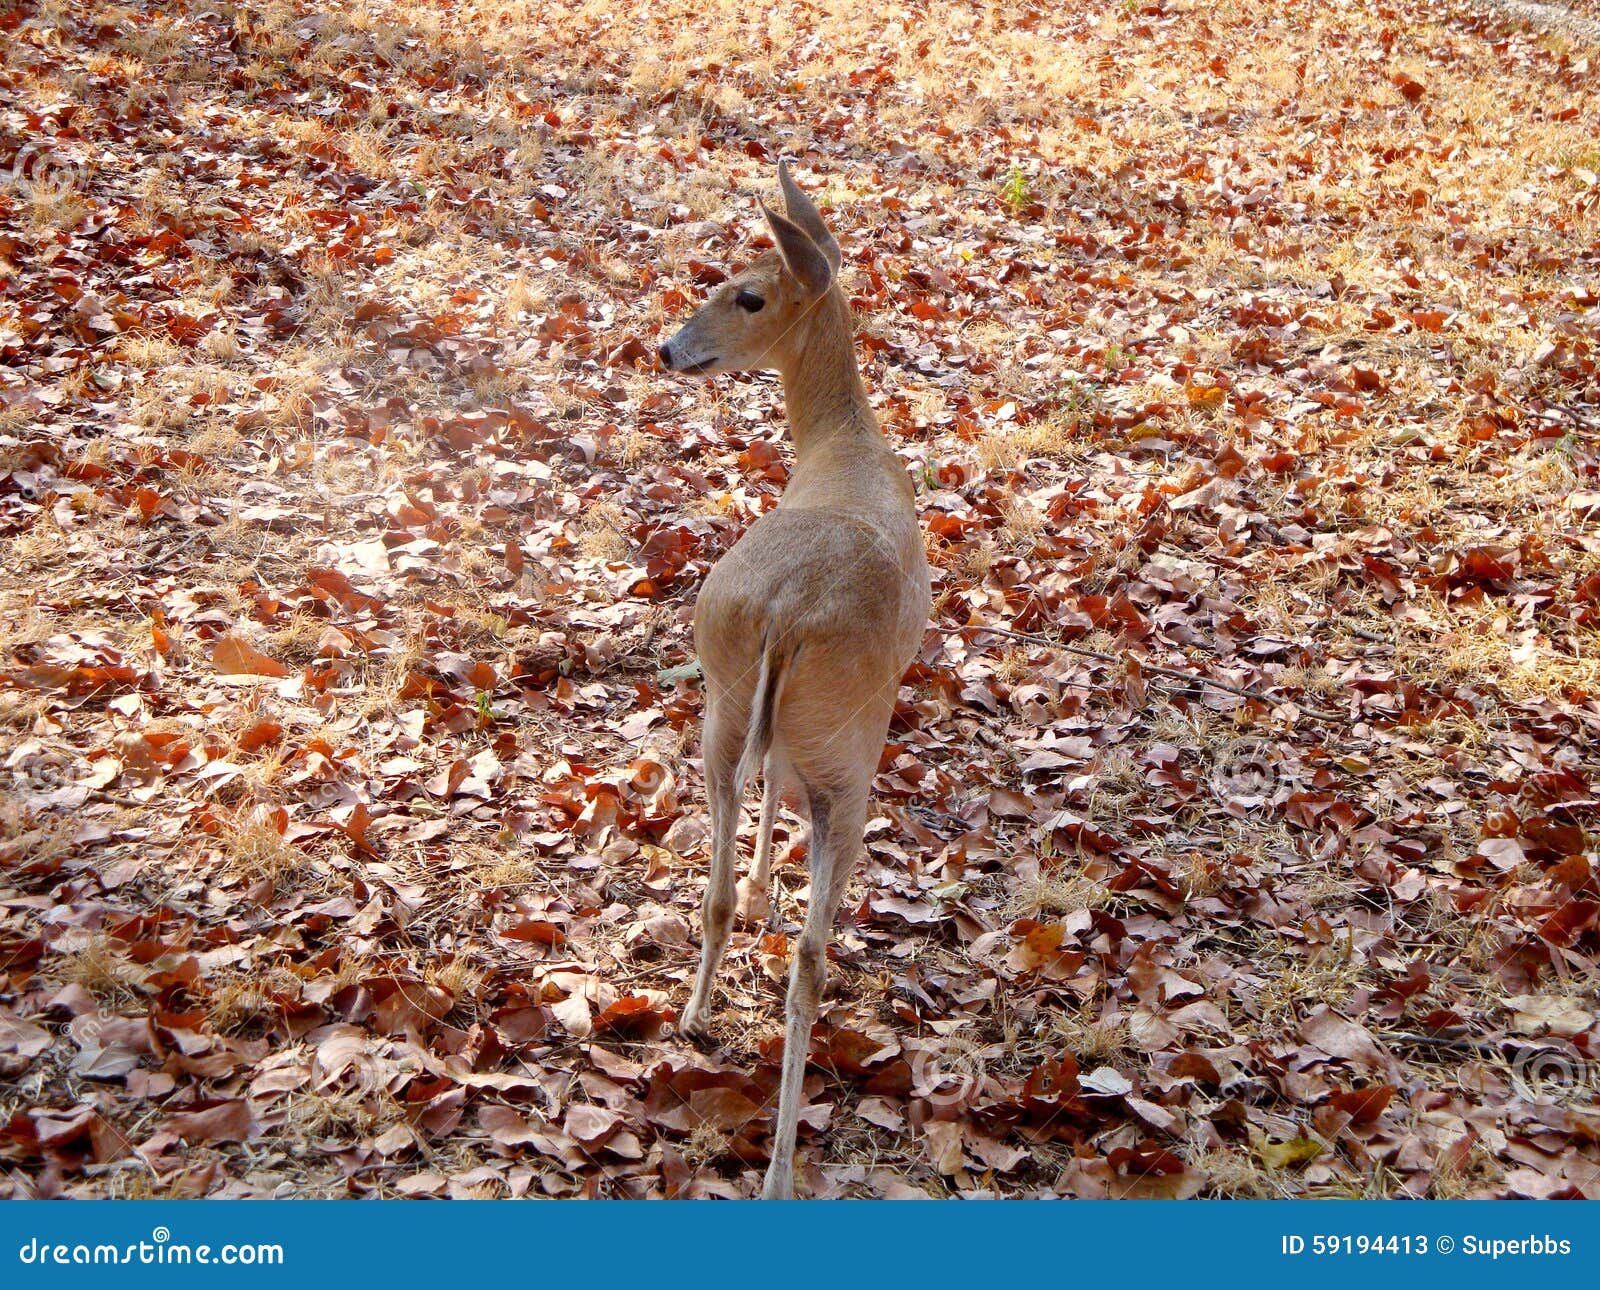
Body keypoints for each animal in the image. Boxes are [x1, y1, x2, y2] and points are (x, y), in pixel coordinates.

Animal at [658, 161, 931, 1199]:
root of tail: (785, 613)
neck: (840, 448)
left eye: (748, 294)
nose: (666, 348)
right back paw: (779, 1167)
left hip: (725, 695)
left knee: (714, 885)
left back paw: (693, 1015)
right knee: (811, 957)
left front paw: (764, 885)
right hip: (853, 748)